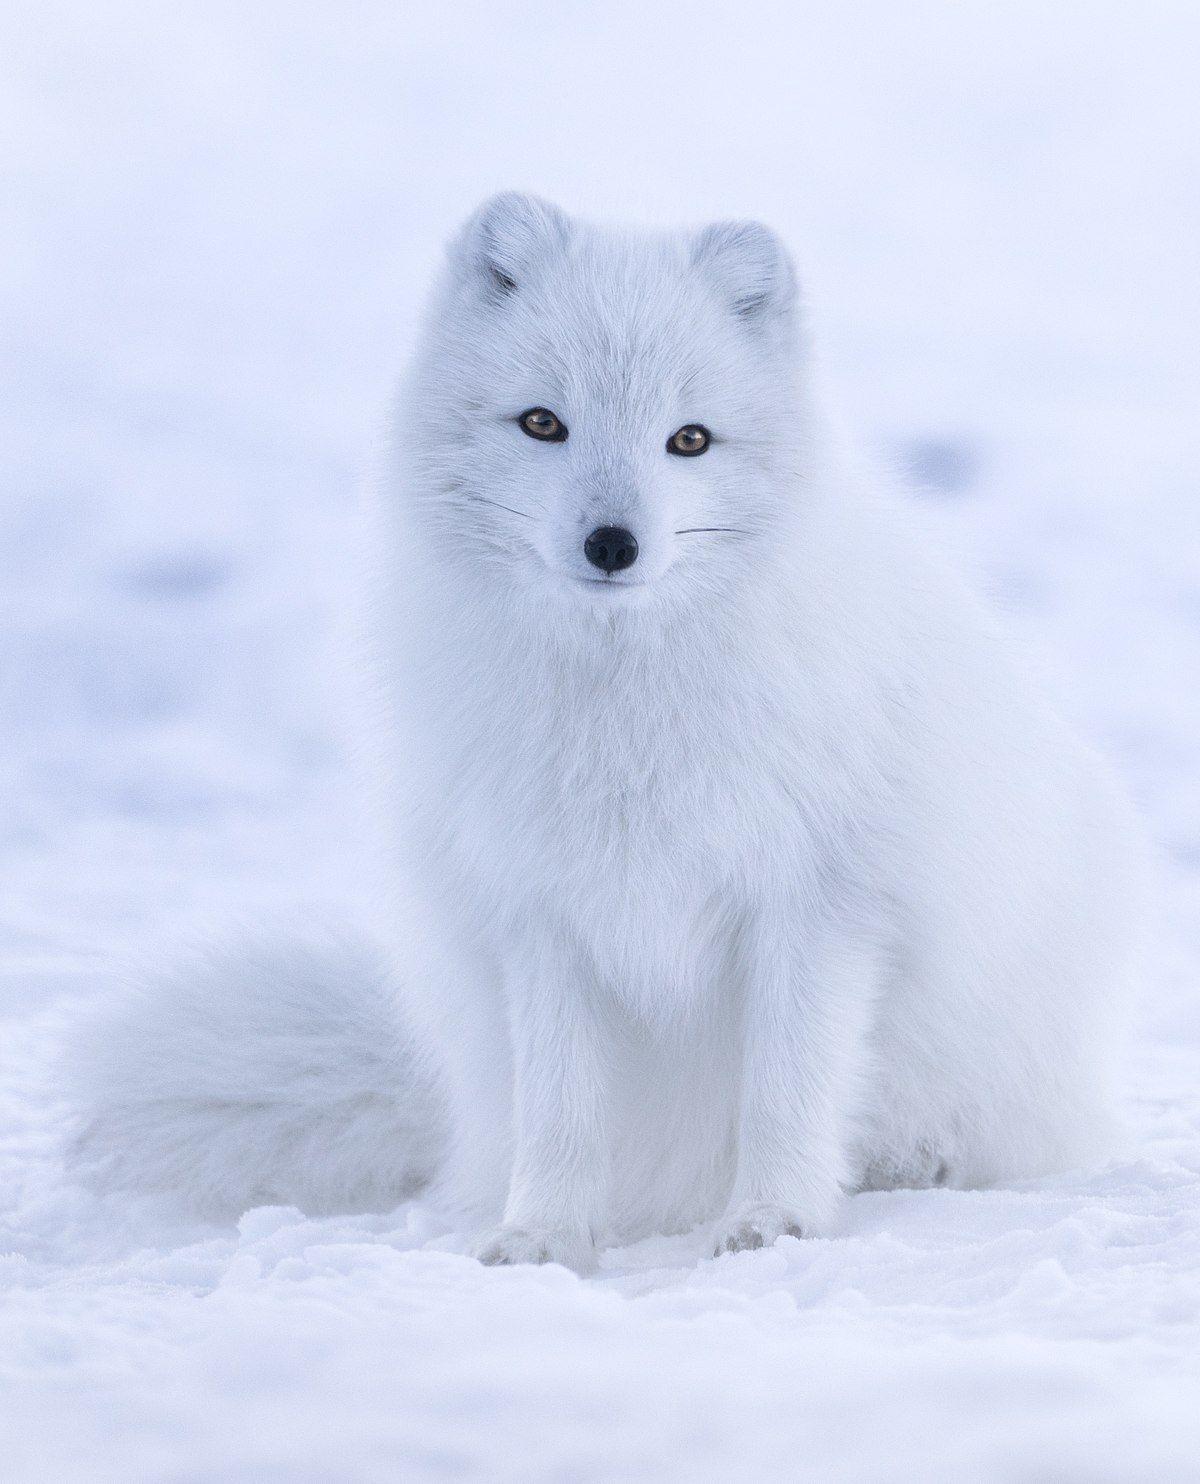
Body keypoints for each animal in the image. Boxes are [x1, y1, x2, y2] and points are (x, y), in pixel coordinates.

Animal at [67, 193, 1143, 1271]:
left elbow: (787, 1089)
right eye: (544, 422)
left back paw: (913, 1162)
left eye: (690, 439)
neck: (624, 707)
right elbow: (561, 1110)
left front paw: (774, 1220)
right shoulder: (540, 912)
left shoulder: (819, 902)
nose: (613, 544)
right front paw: (541, 1235)